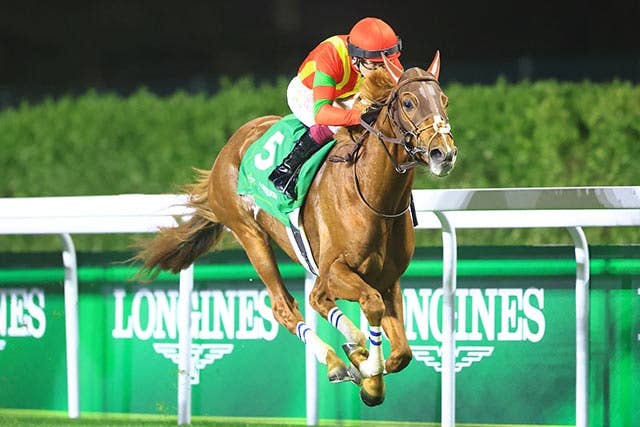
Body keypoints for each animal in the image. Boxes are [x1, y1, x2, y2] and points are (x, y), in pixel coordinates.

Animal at [134, 51, 457, 406]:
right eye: (409, 102)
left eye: (443, 100)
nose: (444, 153)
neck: (373, 195)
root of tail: (231, 144)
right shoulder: (332, 272)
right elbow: (357, 305)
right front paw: (364, 363)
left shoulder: (387, 279)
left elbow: (401, 353)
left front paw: (370, 378)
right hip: (250, 234)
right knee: (286, 307)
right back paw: (337, 361)